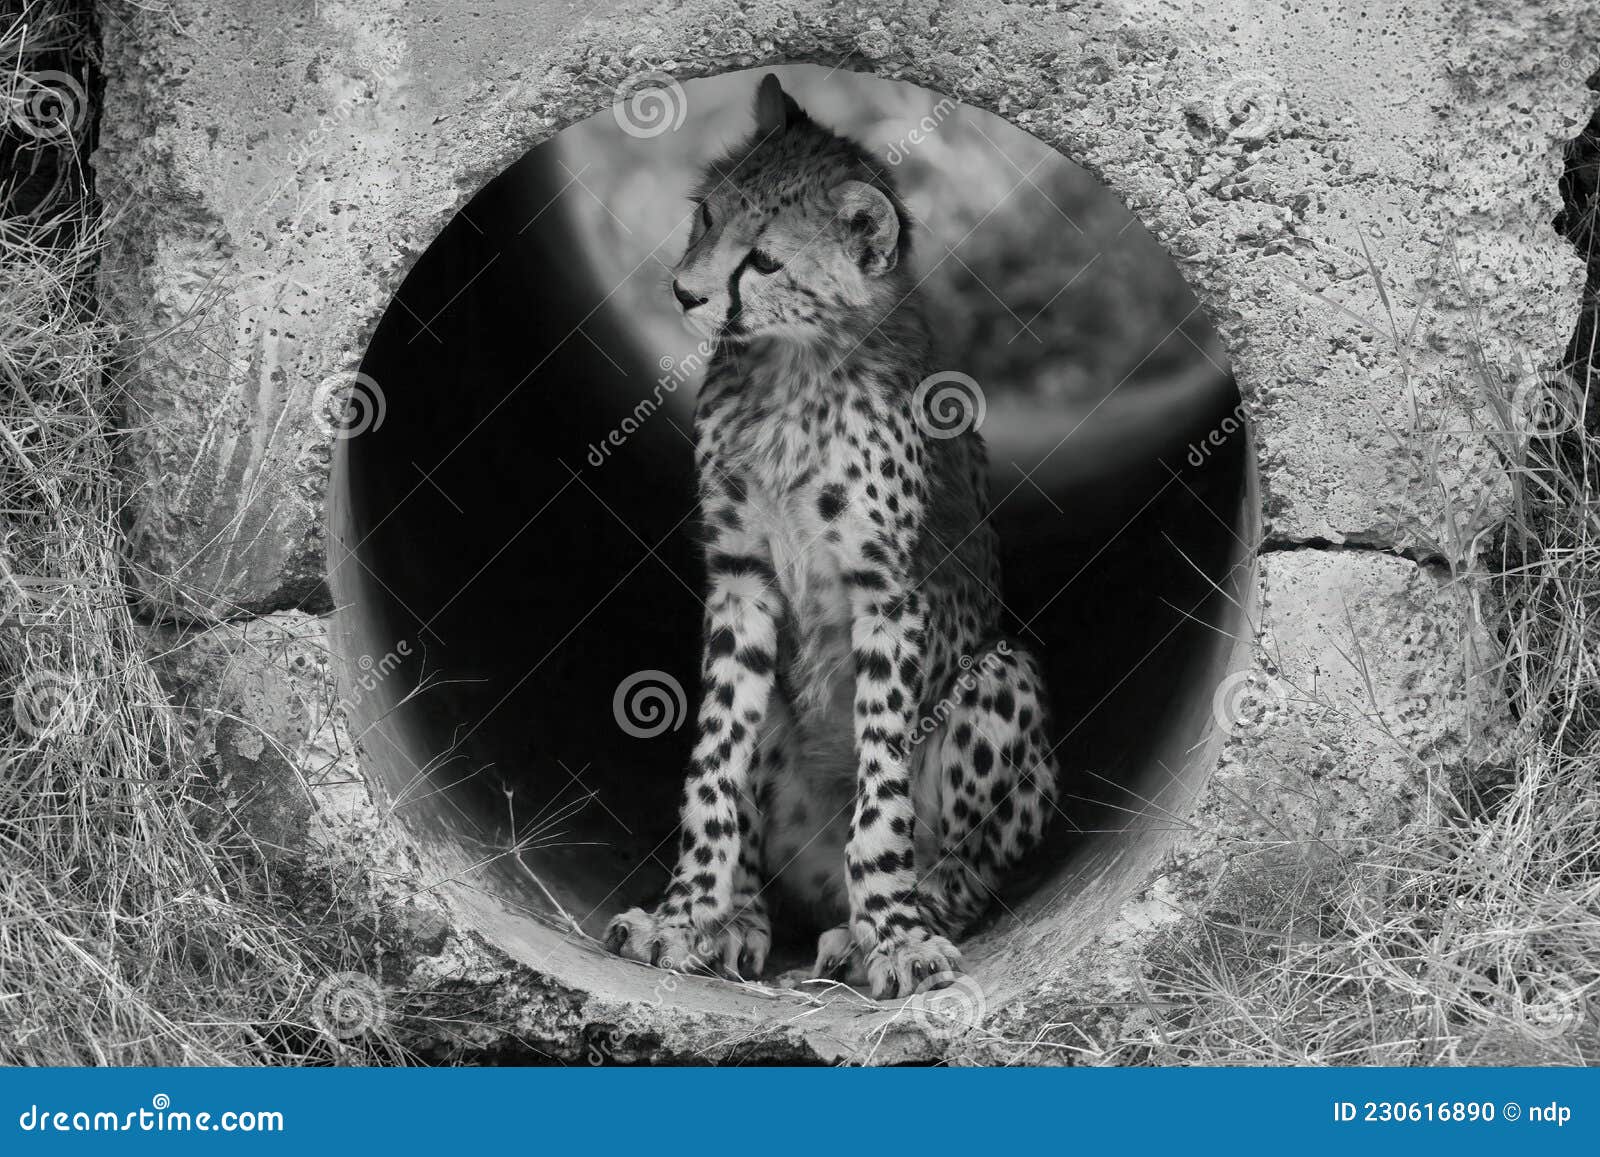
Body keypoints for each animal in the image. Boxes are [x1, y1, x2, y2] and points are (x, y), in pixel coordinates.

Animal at [603, 75, 1059, 999]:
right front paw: (685, 914)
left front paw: (896, 935)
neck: (793, 363)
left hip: (1001, 673)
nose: (684, 292)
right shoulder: (740, 579)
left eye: (765, 261)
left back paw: (878, 922)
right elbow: (714, 761)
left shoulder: (887, 595)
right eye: (706, 216)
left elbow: (883, 790)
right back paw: (739, 918)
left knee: (972, 868)